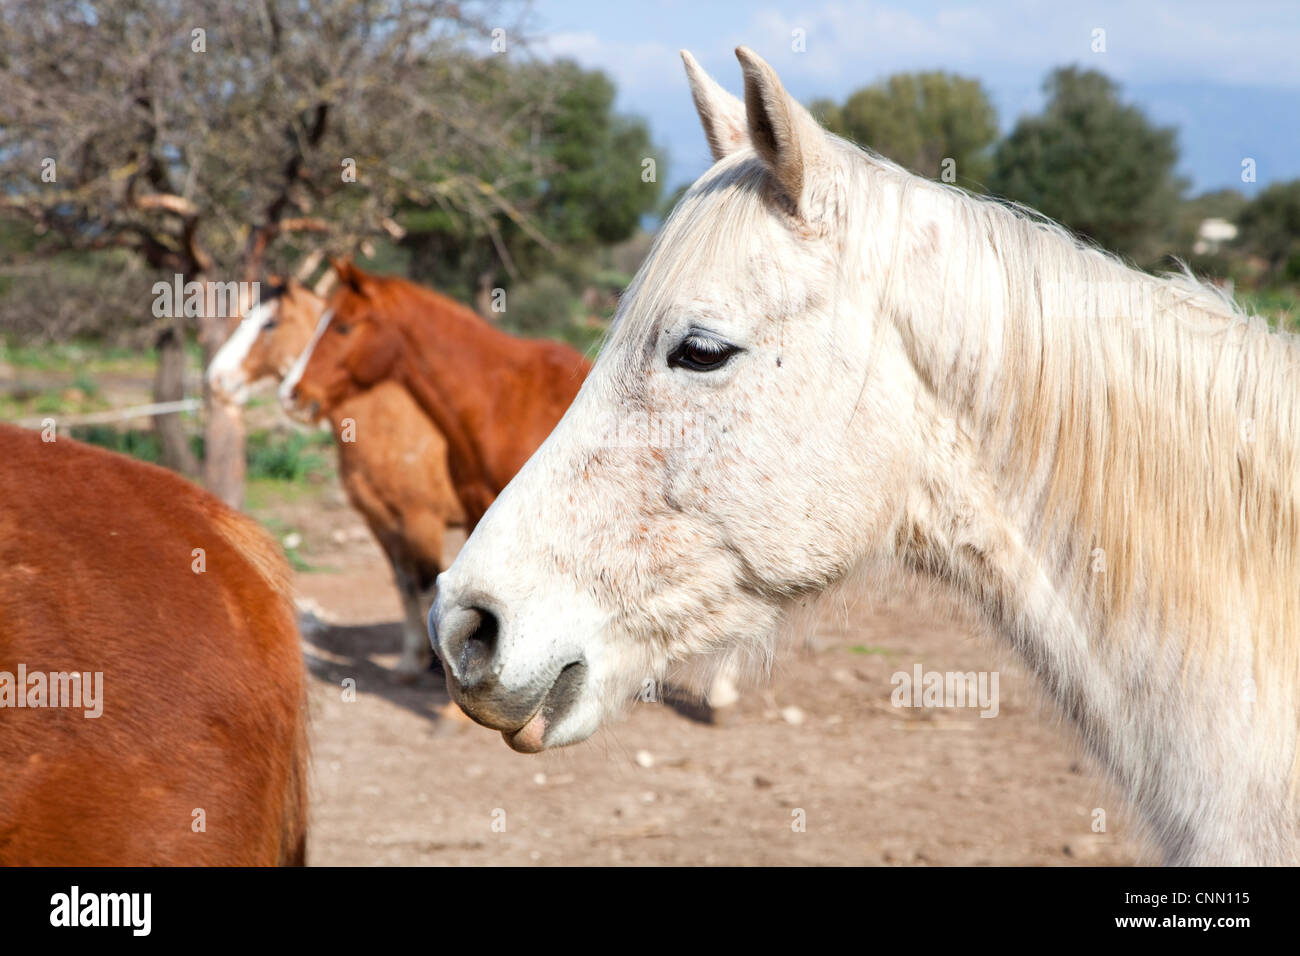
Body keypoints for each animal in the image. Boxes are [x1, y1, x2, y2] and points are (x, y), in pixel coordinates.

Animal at [208, 278, 464, 678]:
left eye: (269, 324)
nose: (217, 379)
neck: (392, 423)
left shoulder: (422, 522)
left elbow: (425, 587)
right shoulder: (381, 522)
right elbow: (404, 586)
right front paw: (409, 661)